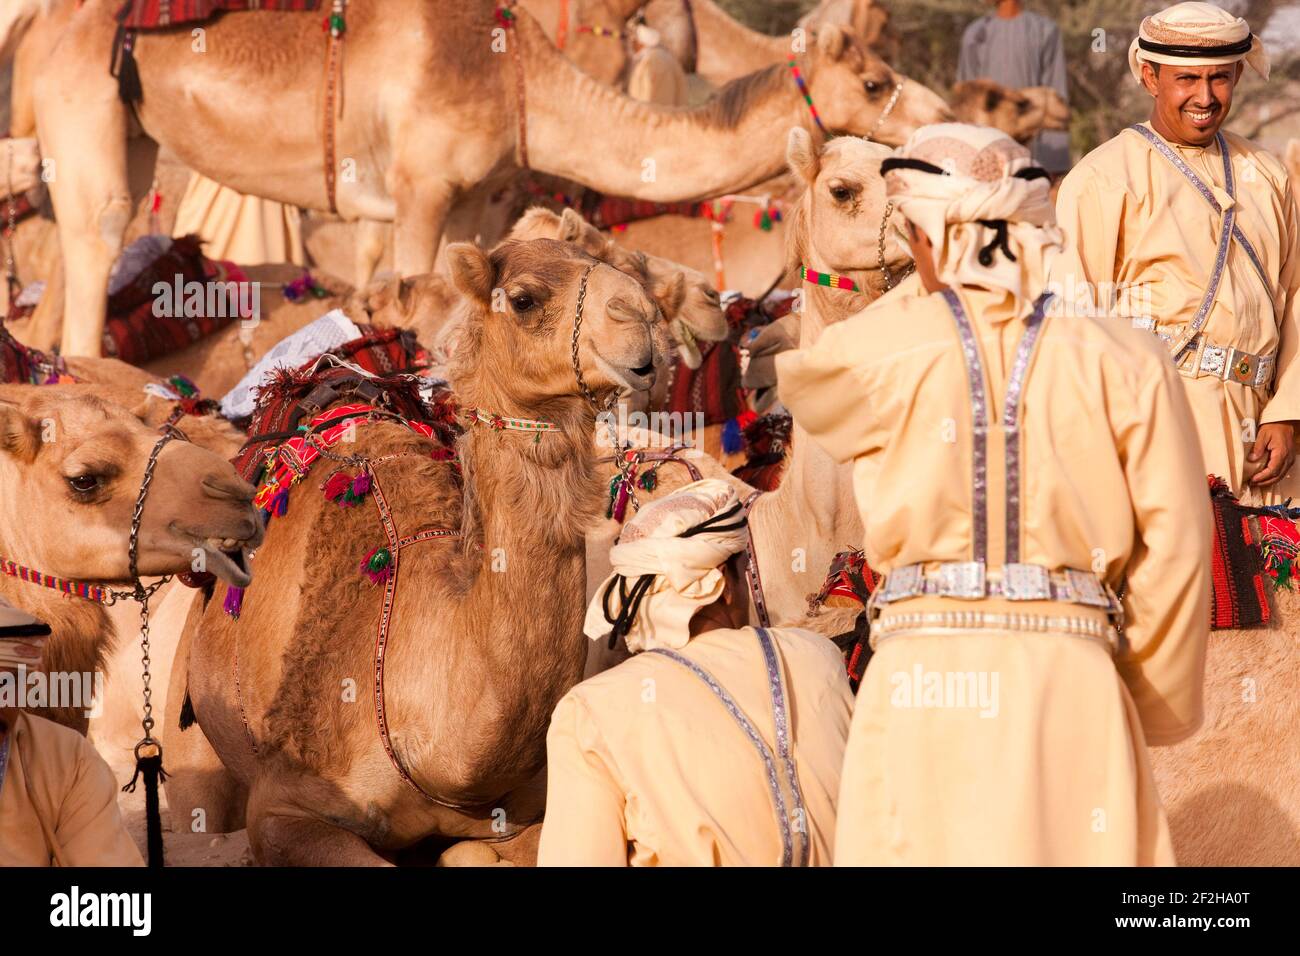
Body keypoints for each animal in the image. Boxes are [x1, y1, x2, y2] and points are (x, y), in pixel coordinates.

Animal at [20, 0, 945, 358]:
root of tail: (41, 18)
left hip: (127, 125)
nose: (940, 114)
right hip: (82, 95)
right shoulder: (420, 189)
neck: (519, 84)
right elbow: (407, 281)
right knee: (99, 230)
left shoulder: (475, 197)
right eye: (873, 84)